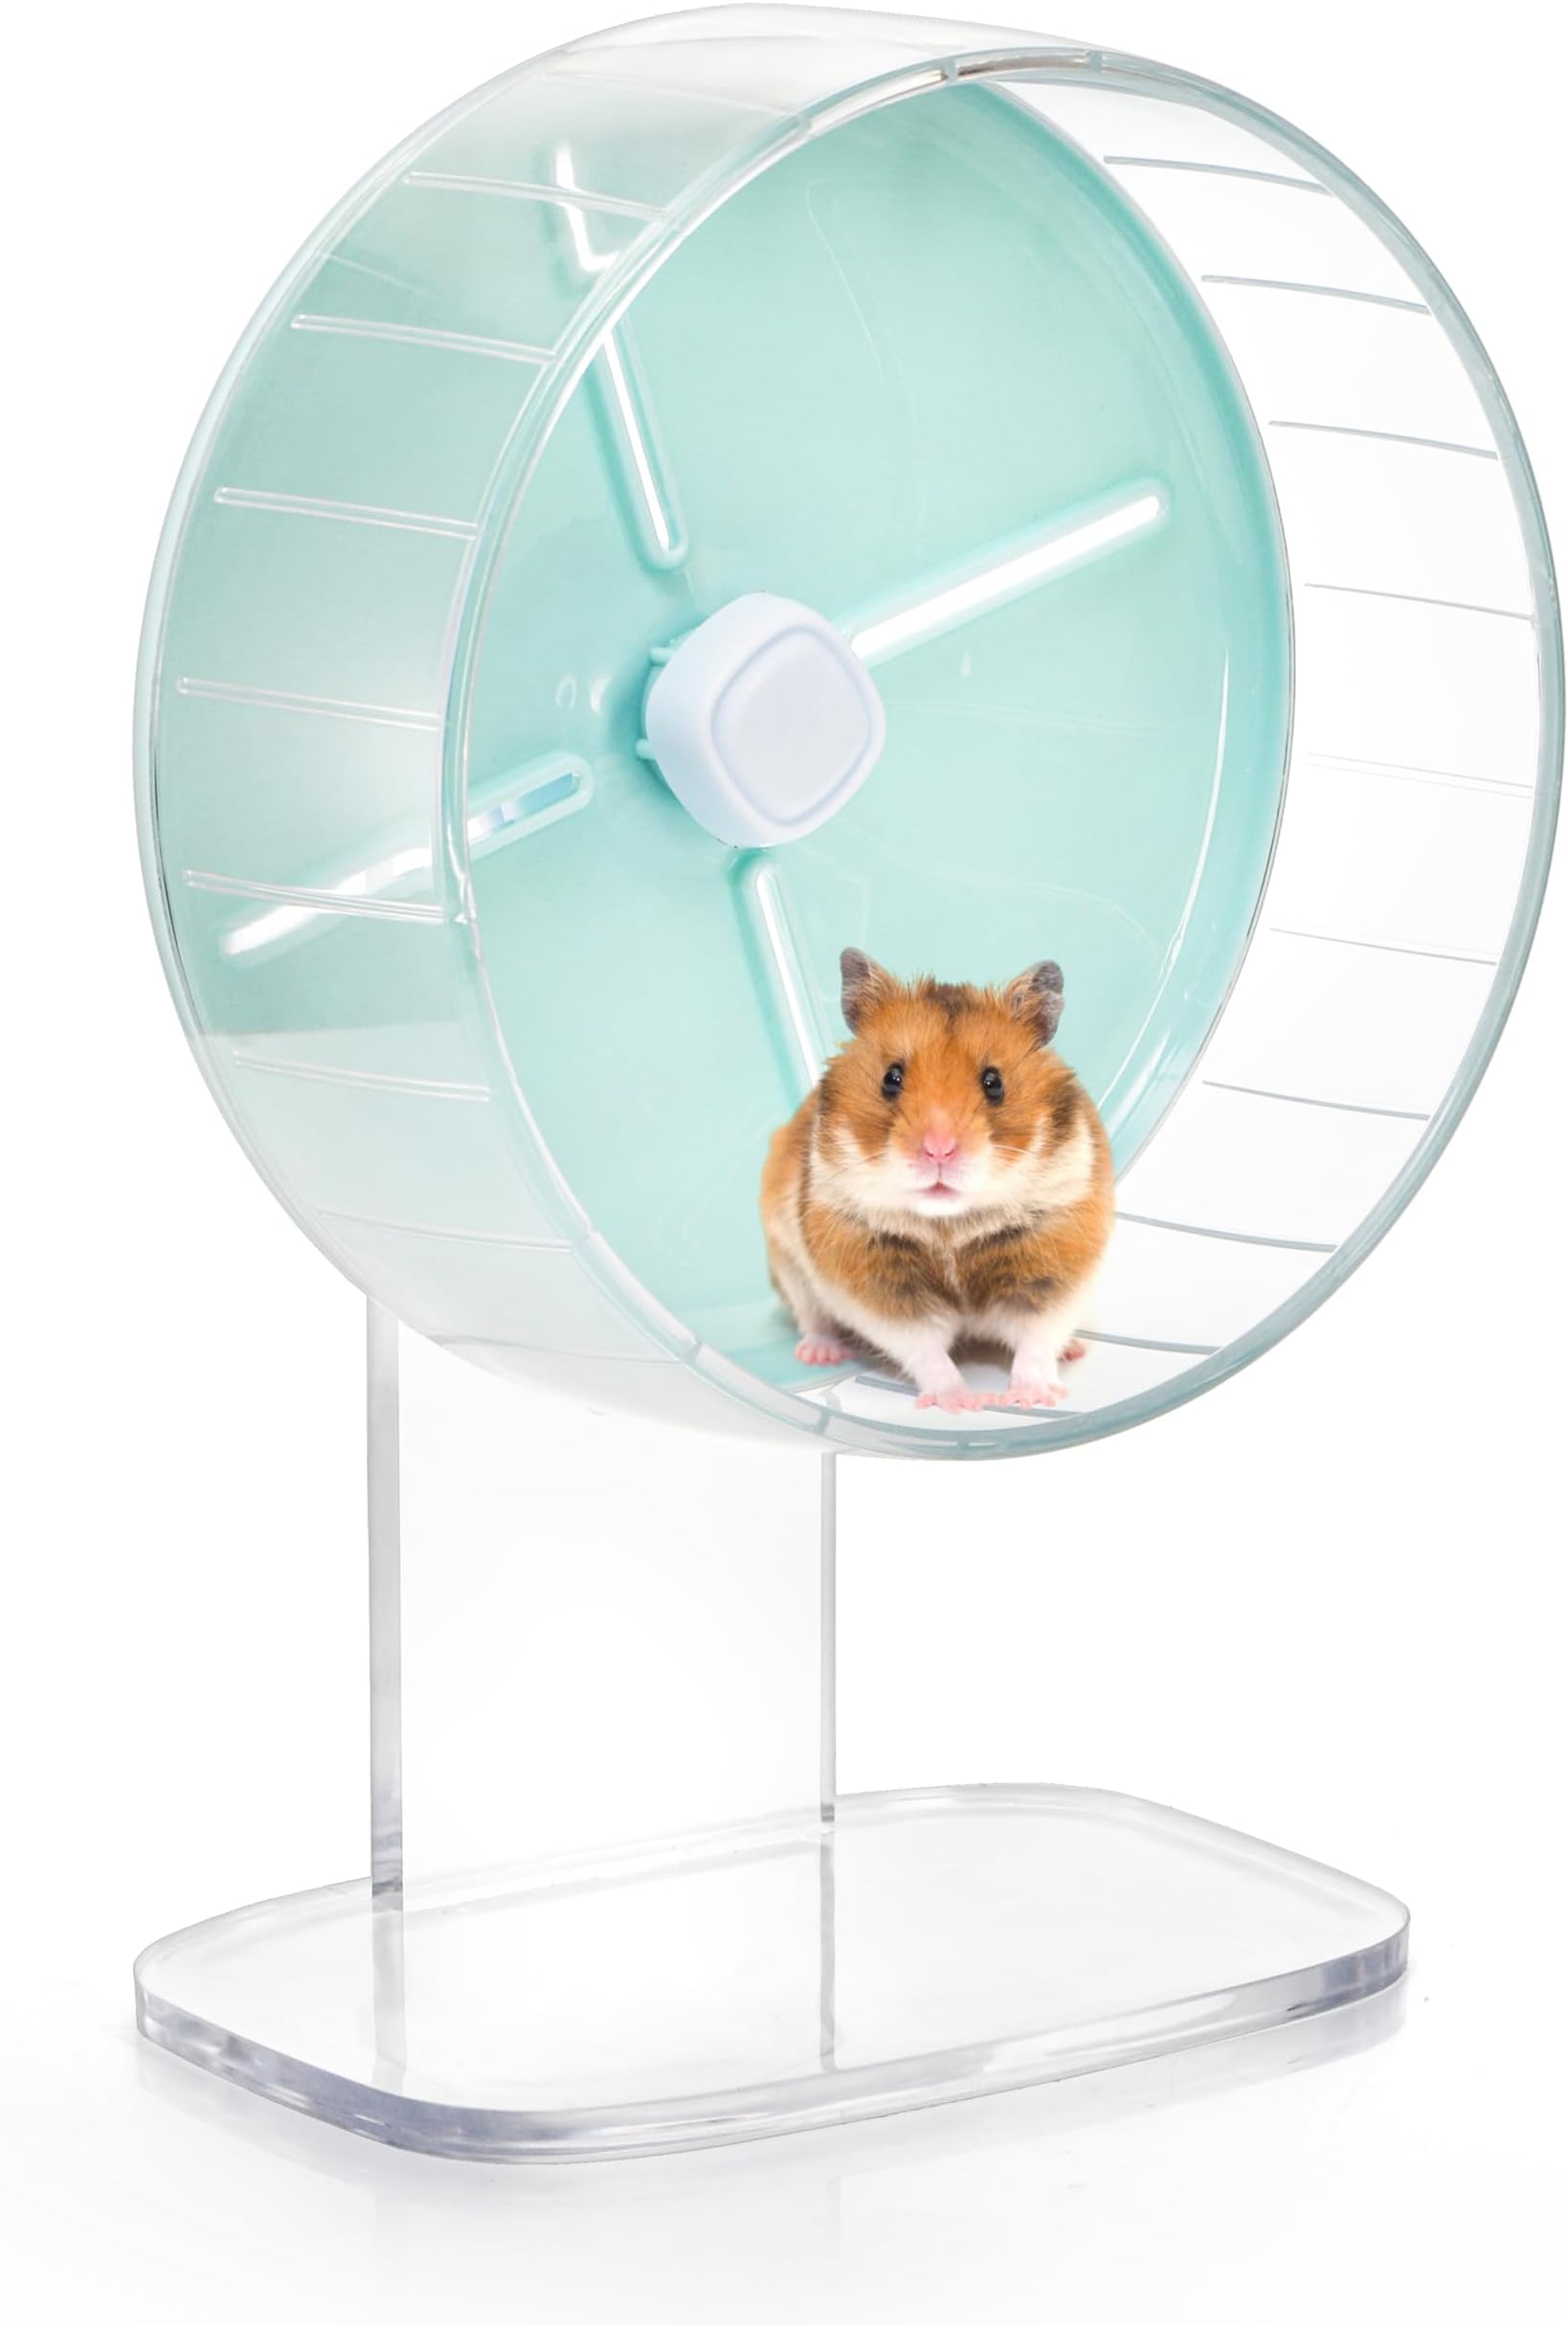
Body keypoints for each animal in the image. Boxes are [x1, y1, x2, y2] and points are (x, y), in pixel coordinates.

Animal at [761, 950, 1114, 1413]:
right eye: (891, 1078)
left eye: (994, 1082)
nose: (939, 1150)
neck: (951, 1225)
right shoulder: (879, 1286)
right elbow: (925, 1351)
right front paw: (964, 1402)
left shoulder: (1054, 1267)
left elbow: (1037, 1340)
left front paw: (1030, 1399)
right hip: (788, 1265)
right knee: (813, 1317)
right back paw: (820, 1354)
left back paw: (1074, 1349)